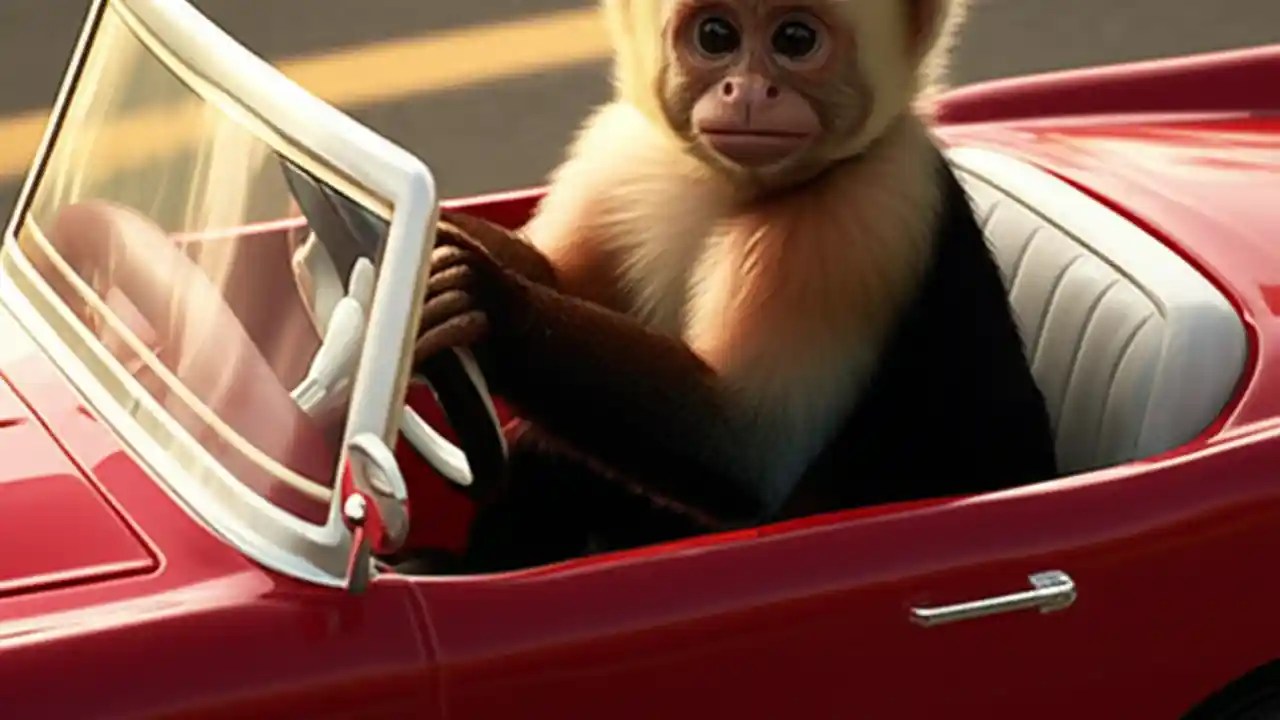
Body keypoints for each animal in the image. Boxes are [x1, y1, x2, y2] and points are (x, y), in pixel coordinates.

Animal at [406, 0, 1058, 573]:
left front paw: (488, 301)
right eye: (716, 36)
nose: (746, 91)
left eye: (796, 40)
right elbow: (555, 272)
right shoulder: (620, 151)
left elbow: (744, 448)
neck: (733, 185)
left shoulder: (858, 219)